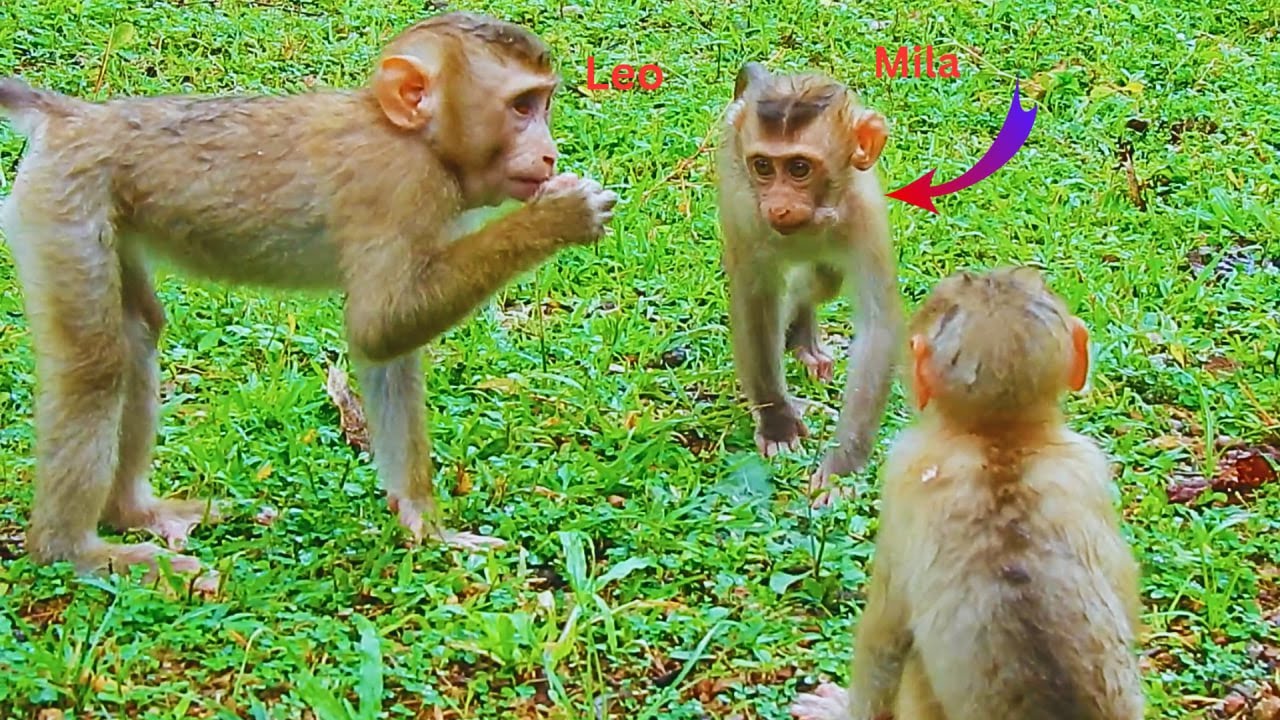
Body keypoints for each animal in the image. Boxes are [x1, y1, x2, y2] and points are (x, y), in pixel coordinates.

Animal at [0, 11, 617, 583]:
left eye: (543, 104)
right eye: (521, 107)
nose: (549, 153)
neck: (414, 139)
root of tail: (73, 117)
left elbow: (383, 349)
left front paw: (424, 523)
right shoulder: (400, 187)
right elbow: (379, 322)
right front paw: (560, 216)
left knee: (137, 332)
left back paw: (131, 511)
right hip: (64, 205)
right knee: (94, 364)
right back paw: (73, 551)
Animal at [715, 62, 903, 507]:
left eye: (799, 168)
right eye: (763, 167)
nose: (779, 206)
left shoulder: (863, 213)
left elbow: (878, 327)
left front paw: (841, 469)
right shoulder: (744, 208)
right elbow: (755, 300)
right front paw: (778, 422)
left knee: (824, 280)